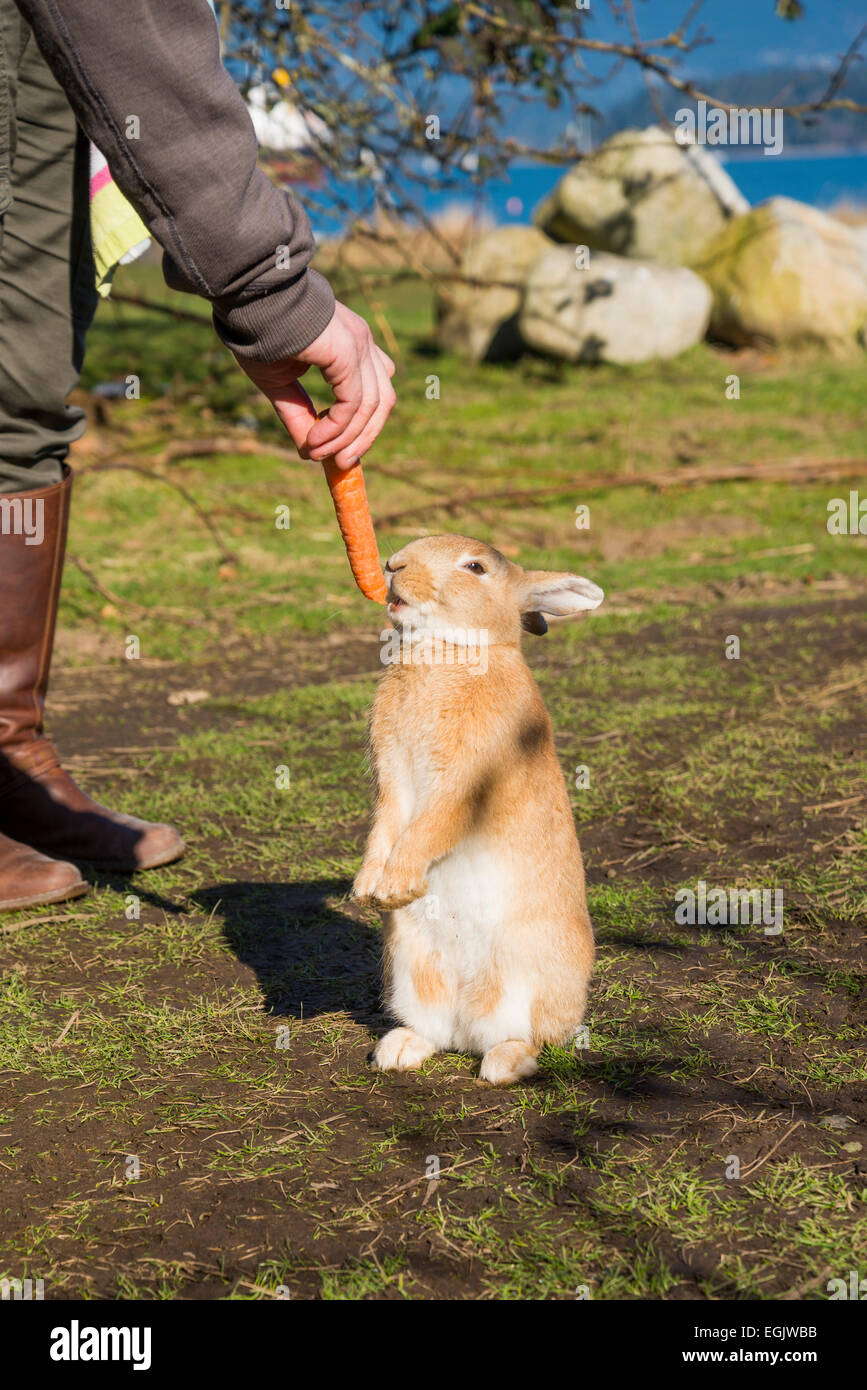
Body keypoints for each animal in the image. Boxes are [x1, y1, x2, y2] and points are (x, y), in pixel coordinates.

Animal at [351, 534, 603, 1086]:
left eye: (475, 568)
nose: (393, 564)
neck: (449, 648)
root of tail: (467, 1031)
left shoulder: (465, 784)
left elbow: (433, 825)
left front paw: (396, 886)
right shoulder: (392, 782)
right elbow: (386, 823)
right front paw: (368, 890)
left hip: (528, 981)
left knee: (528, 1038)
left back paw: (502, 1065)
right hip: (410, 972)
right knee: (436, 1030)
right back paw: (398, 1050)